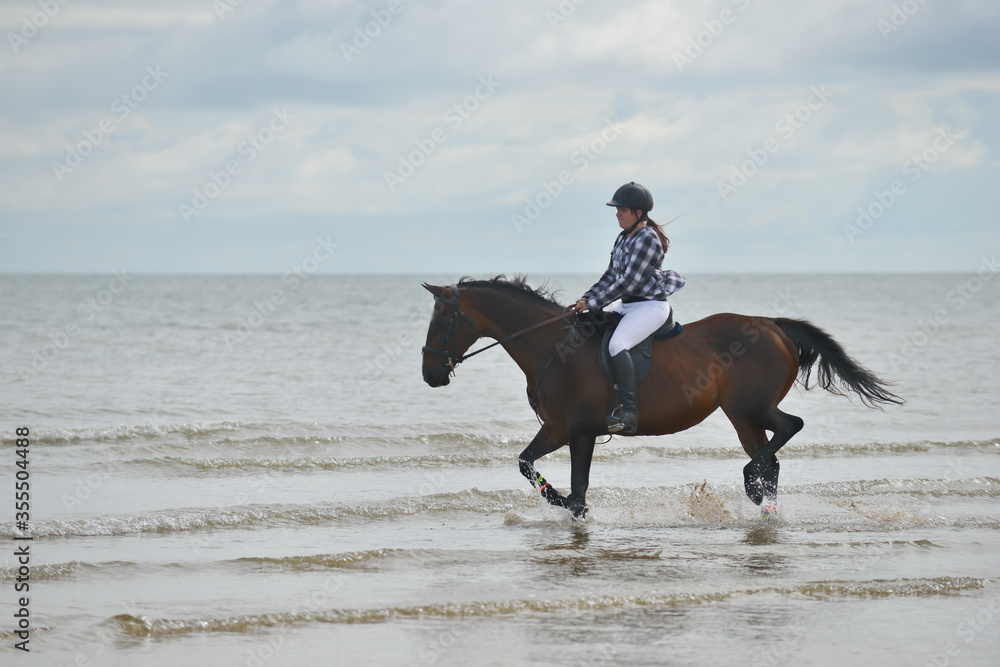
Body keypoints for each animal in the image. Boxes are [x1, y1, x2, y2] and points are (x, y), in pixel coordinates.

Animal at [421, 276, 902, 519]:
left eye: (441, 320)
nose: (430, 376)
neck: (553, 347)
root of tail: (774, 325)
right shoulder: (557, 428)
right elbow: (525, 463)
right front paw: (557, 501)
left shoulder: (580, 431)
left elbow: (579, 488)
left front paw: (571, 508)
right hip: (744, 416)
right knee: (771, 457)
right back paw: (762, 503)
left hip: (749, 407)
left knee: (788, 430)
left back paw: (752, 486)